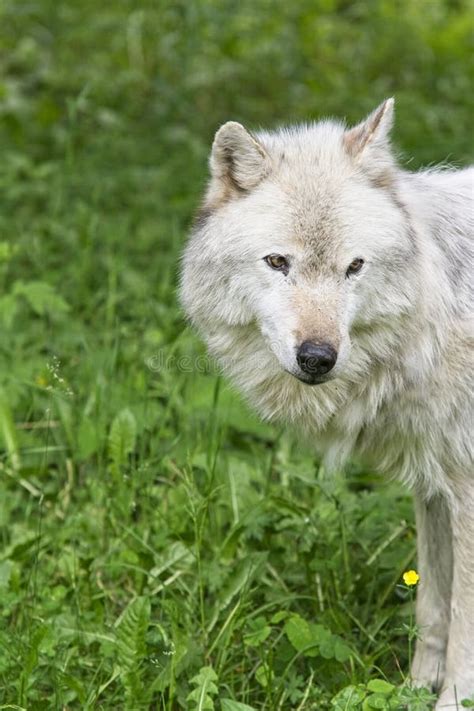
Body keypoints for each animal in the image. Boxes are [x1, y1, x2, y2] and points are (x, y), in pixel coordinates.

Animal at [180, 99, 474, 708]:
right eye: (277, 262)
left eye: (354, 267)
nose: (318, 357)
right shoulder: (437, 487)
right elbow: (433, 606)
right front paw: (414, 690)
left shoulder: (468, 490)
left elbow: (462, 622)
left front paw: (452, 699)